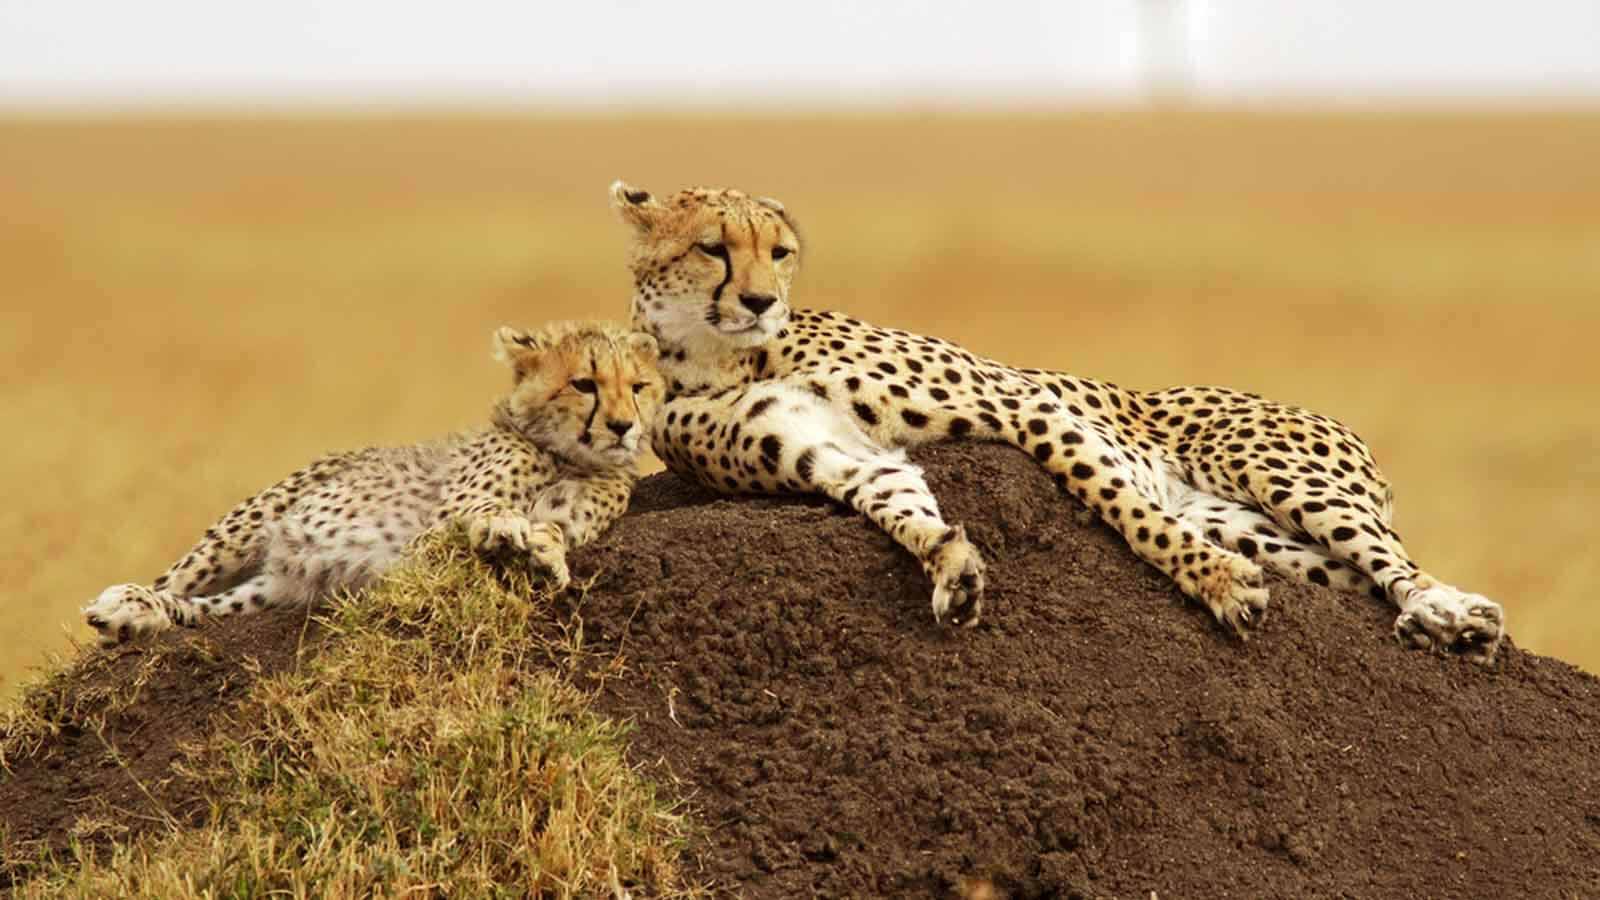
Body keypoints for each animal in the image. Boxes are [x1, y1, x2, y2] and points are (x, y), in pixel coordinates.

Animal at [83, 320, 664, 646]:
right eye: (584, 384)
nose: (622, 426)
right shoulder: (429, 538)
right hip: (246, 529)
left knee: (197, 612)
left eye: (638, 387)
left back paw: (136, 618)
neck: (564, 455)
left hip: (270, 591)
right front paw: (503, 527)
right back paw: (124, 604)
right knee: (170, 584)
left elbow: (557, 528)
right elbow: (480, 515)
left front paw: (542, 552)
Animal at [607, 179, 1505, 664]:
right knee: (1350, 575)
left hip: (1279, 472)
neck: (723, 355)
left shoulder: (1021, 404)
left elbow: (1123, 507)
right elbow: (902, 506)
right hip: (1267, 535)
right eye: (713, 248)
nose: (762, 300)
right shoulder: (842, 455)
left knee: (1399, 560)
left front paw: (1213, 583)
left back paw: (1447, 614)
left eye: (779, 252)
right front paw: (954, 569)